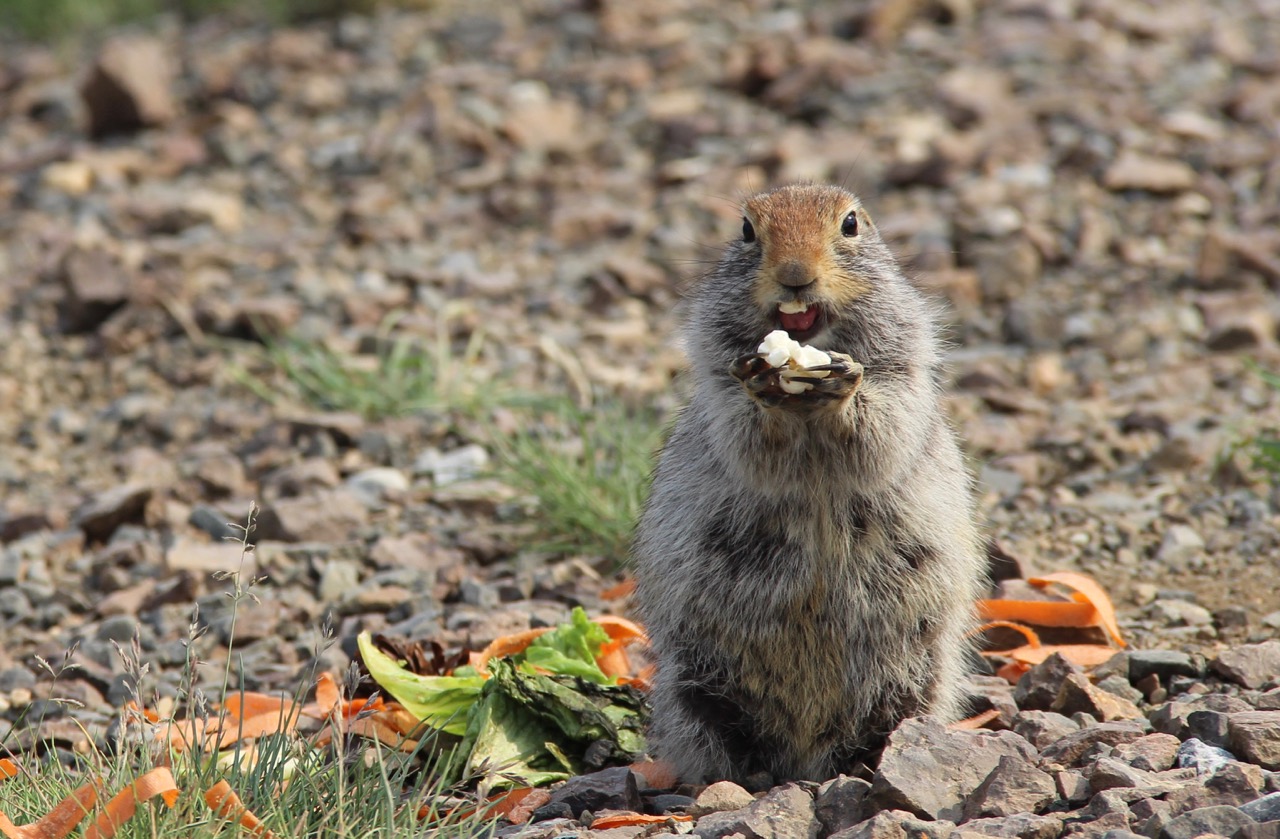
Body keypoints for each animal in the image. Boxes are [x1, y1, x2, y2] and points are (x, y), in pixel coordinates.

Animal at [632, 184, 986, 783]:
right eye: (746, 230)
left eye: (851, 224)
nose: (795, 275)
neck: (806, 411)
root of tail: (805, 758)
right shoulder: (719, 390)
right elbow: (748, 433)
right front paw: (766, 385)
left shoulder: (903, 373)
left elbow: (881, 425)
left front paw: (842, 384)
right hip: (695, 680)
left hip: (914, 672)